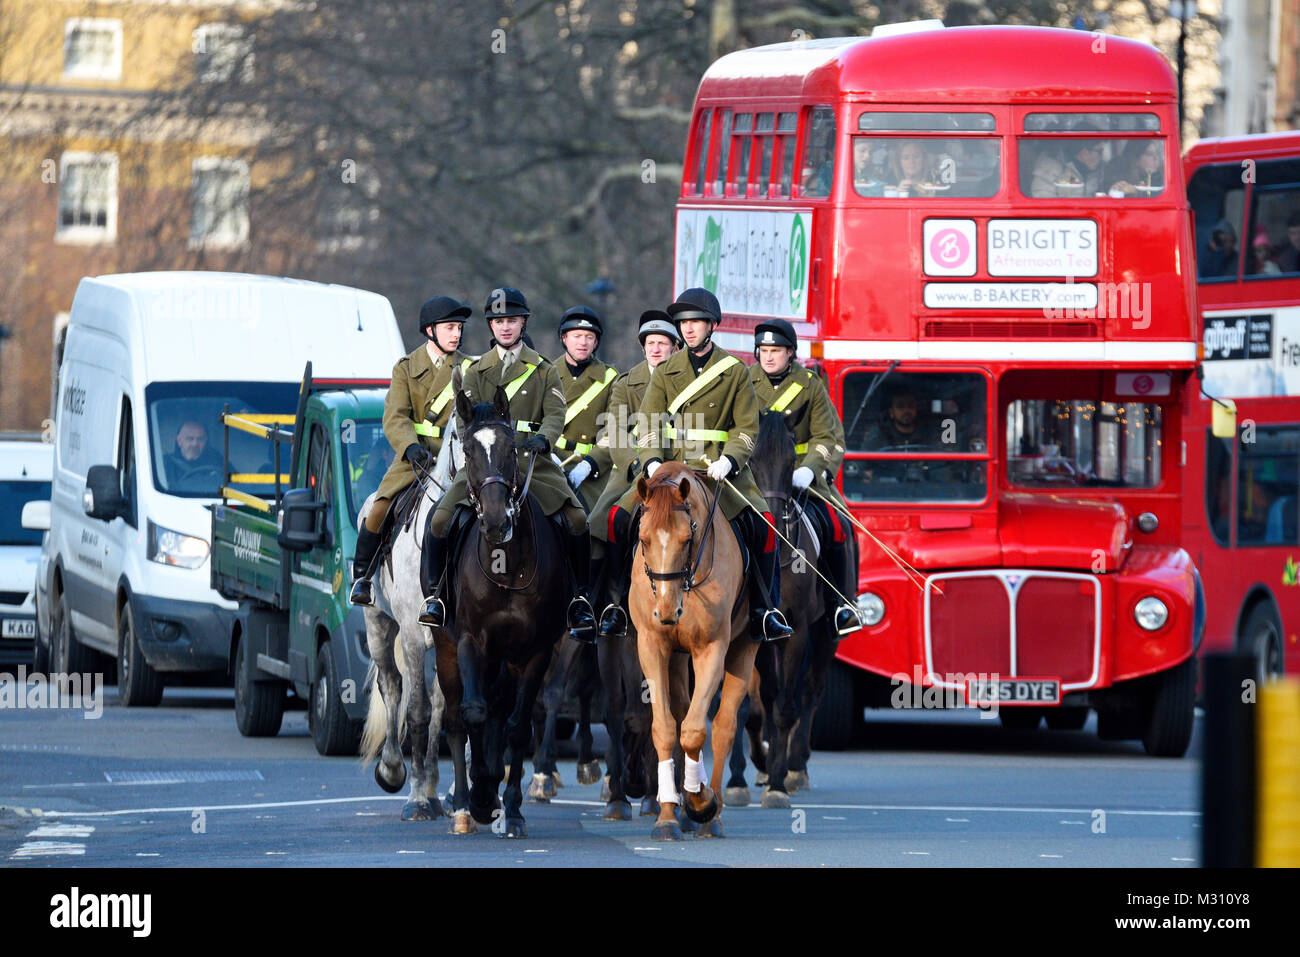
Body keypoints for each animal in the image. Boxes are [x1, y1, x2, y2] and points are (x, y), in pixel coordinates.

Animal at [358, 419, 462, 822]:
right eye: (460, 435)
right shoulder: (414, 639)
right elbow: (416, 711)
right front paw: (416, 798)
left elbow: (443, 711)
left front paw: (438, 791)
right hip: (378, 624)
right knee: (392, 686)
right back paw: (391, 769)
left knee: (436, 703)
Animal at [434, 381, 569, 838]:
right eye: (469, 450)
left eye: (513, 449)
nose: (495, 521)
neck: (504, 564)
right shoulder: (470, 642)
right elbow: (473, 714)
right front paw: (476, 796)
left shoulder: (535, 652)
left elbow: (516, 725)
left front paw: (510, 807)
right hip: (445, 648)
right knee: (457, 719)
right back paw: (463, 803)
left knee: (500, 711)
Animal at [631, 461, 758, 840]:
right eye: (643, 539)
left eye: (687, 540)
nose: (666, 611)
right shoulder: (652, 646)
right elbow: (665, 728)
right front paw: (668, 814)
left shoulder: (712, 649)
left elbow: (695, 731)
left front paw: (701, 801)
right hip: (677, 656)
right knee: (683, 712)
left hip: (744, 649)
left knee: (724, 727)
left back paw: (709, 812)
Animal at [725, 408, 827, 808]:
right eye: (749, 461)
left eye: (790, 462)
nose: (772, 516)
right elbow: (746, 707)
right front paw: (739, 778)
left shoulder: (797, 631)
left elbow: (785, 706)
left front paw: (779, 784)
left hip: (824, 637)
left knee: (809, 692)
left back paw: (794, 766)